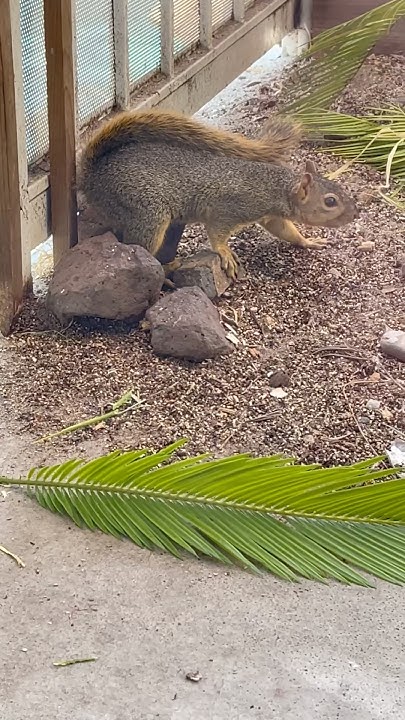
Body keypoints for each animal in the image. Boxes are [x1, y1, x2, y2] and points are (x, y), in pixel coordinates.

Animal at [80, 109, 359, 279]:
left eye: (341, 190)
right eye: (330, 201)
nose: (356, 213)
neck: (275, 186)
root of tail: (93, 177)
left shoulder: (272, 216)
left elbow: (285, 230)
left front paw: (308, 241)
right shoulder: (229, 208)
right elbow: (217, 232)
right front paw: (224, 252)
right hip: (146, 210)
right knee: (138, 246)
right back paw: (166, 271)